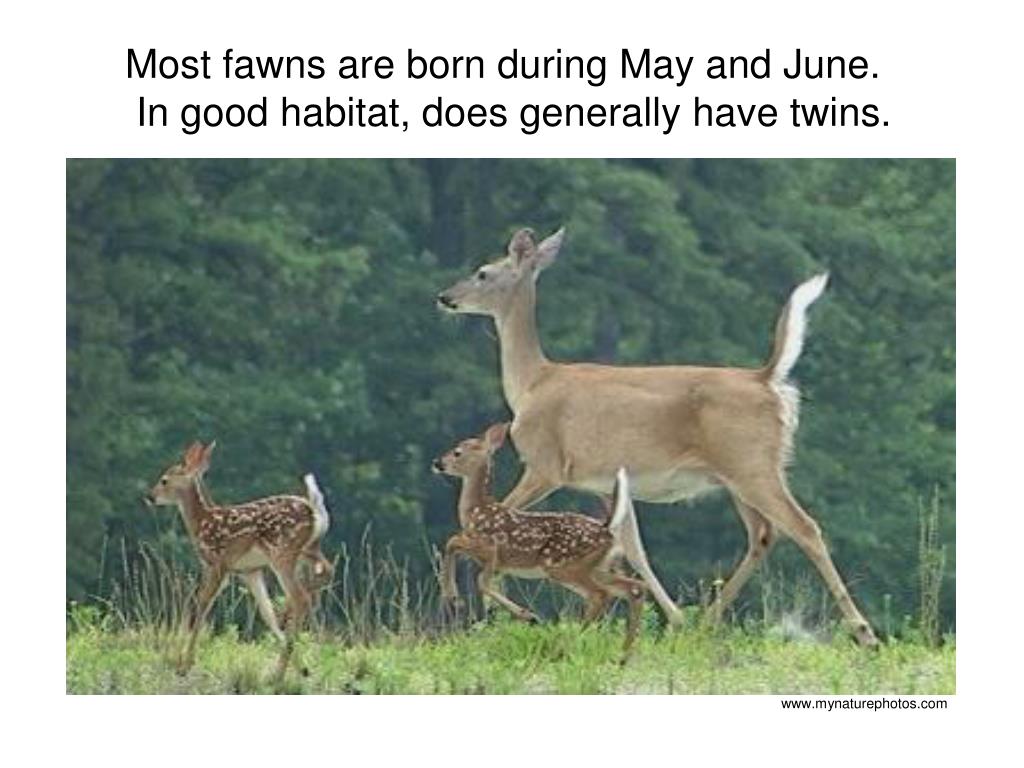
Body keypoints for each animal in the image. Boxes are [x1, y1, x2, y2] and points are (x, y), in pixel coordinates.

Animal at [145, 441, 334, 677]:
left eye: (164, 480)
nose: (150, 497)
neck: (202, 523)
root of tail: (314, 510)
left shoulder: (217, 563)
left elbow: (202, 605)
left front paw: (185, 664)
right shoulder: (249, 571)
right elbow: (266, 612)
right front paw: (303, 667)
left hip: (282, 552)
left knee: (302, 596)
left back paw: (278, 673)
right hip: (308, 549)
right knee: (325, 572)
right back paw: (286, 631)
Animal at [433, 422, 649, 654]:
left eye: (457, 452)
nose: (437, 463)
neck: (476, 511)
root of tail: (607, 528)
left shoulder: (490, 548)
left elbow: (462, 555)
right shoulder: (494, 559)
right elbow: (463, 557)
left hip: (562, 565)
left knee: (600, 595)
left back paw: (573, 641)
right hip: (599, 567)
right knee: (633, 588)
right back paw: (624, 650)